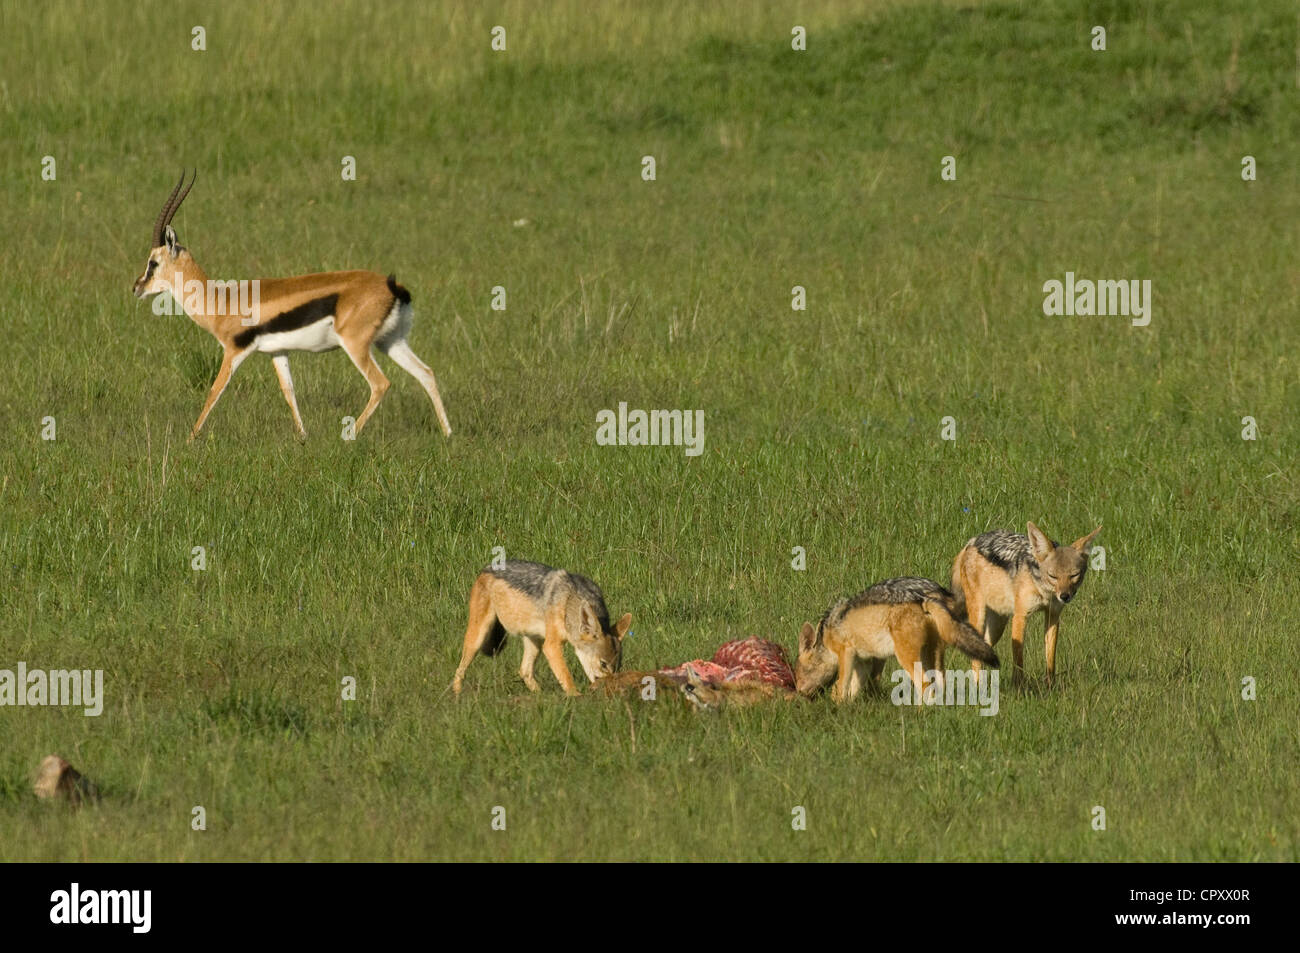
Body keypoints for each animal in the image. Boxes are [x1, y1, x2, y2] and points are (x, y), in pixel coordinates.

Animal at [132, 172, 451, 441]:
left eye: (153, 262)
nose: (137, 287)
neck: (221, 300)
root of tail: (393, 287)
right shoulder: (278, 351)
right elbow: (289, 391)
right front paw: (303, 437)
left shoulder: (234, 351)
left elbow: (214, 390)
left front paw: (189, 439)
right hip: (391, 341)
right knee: (426, 373)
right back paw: (448, 434)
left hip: (356, 344)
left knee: (380, 383)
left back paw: (349, 436)